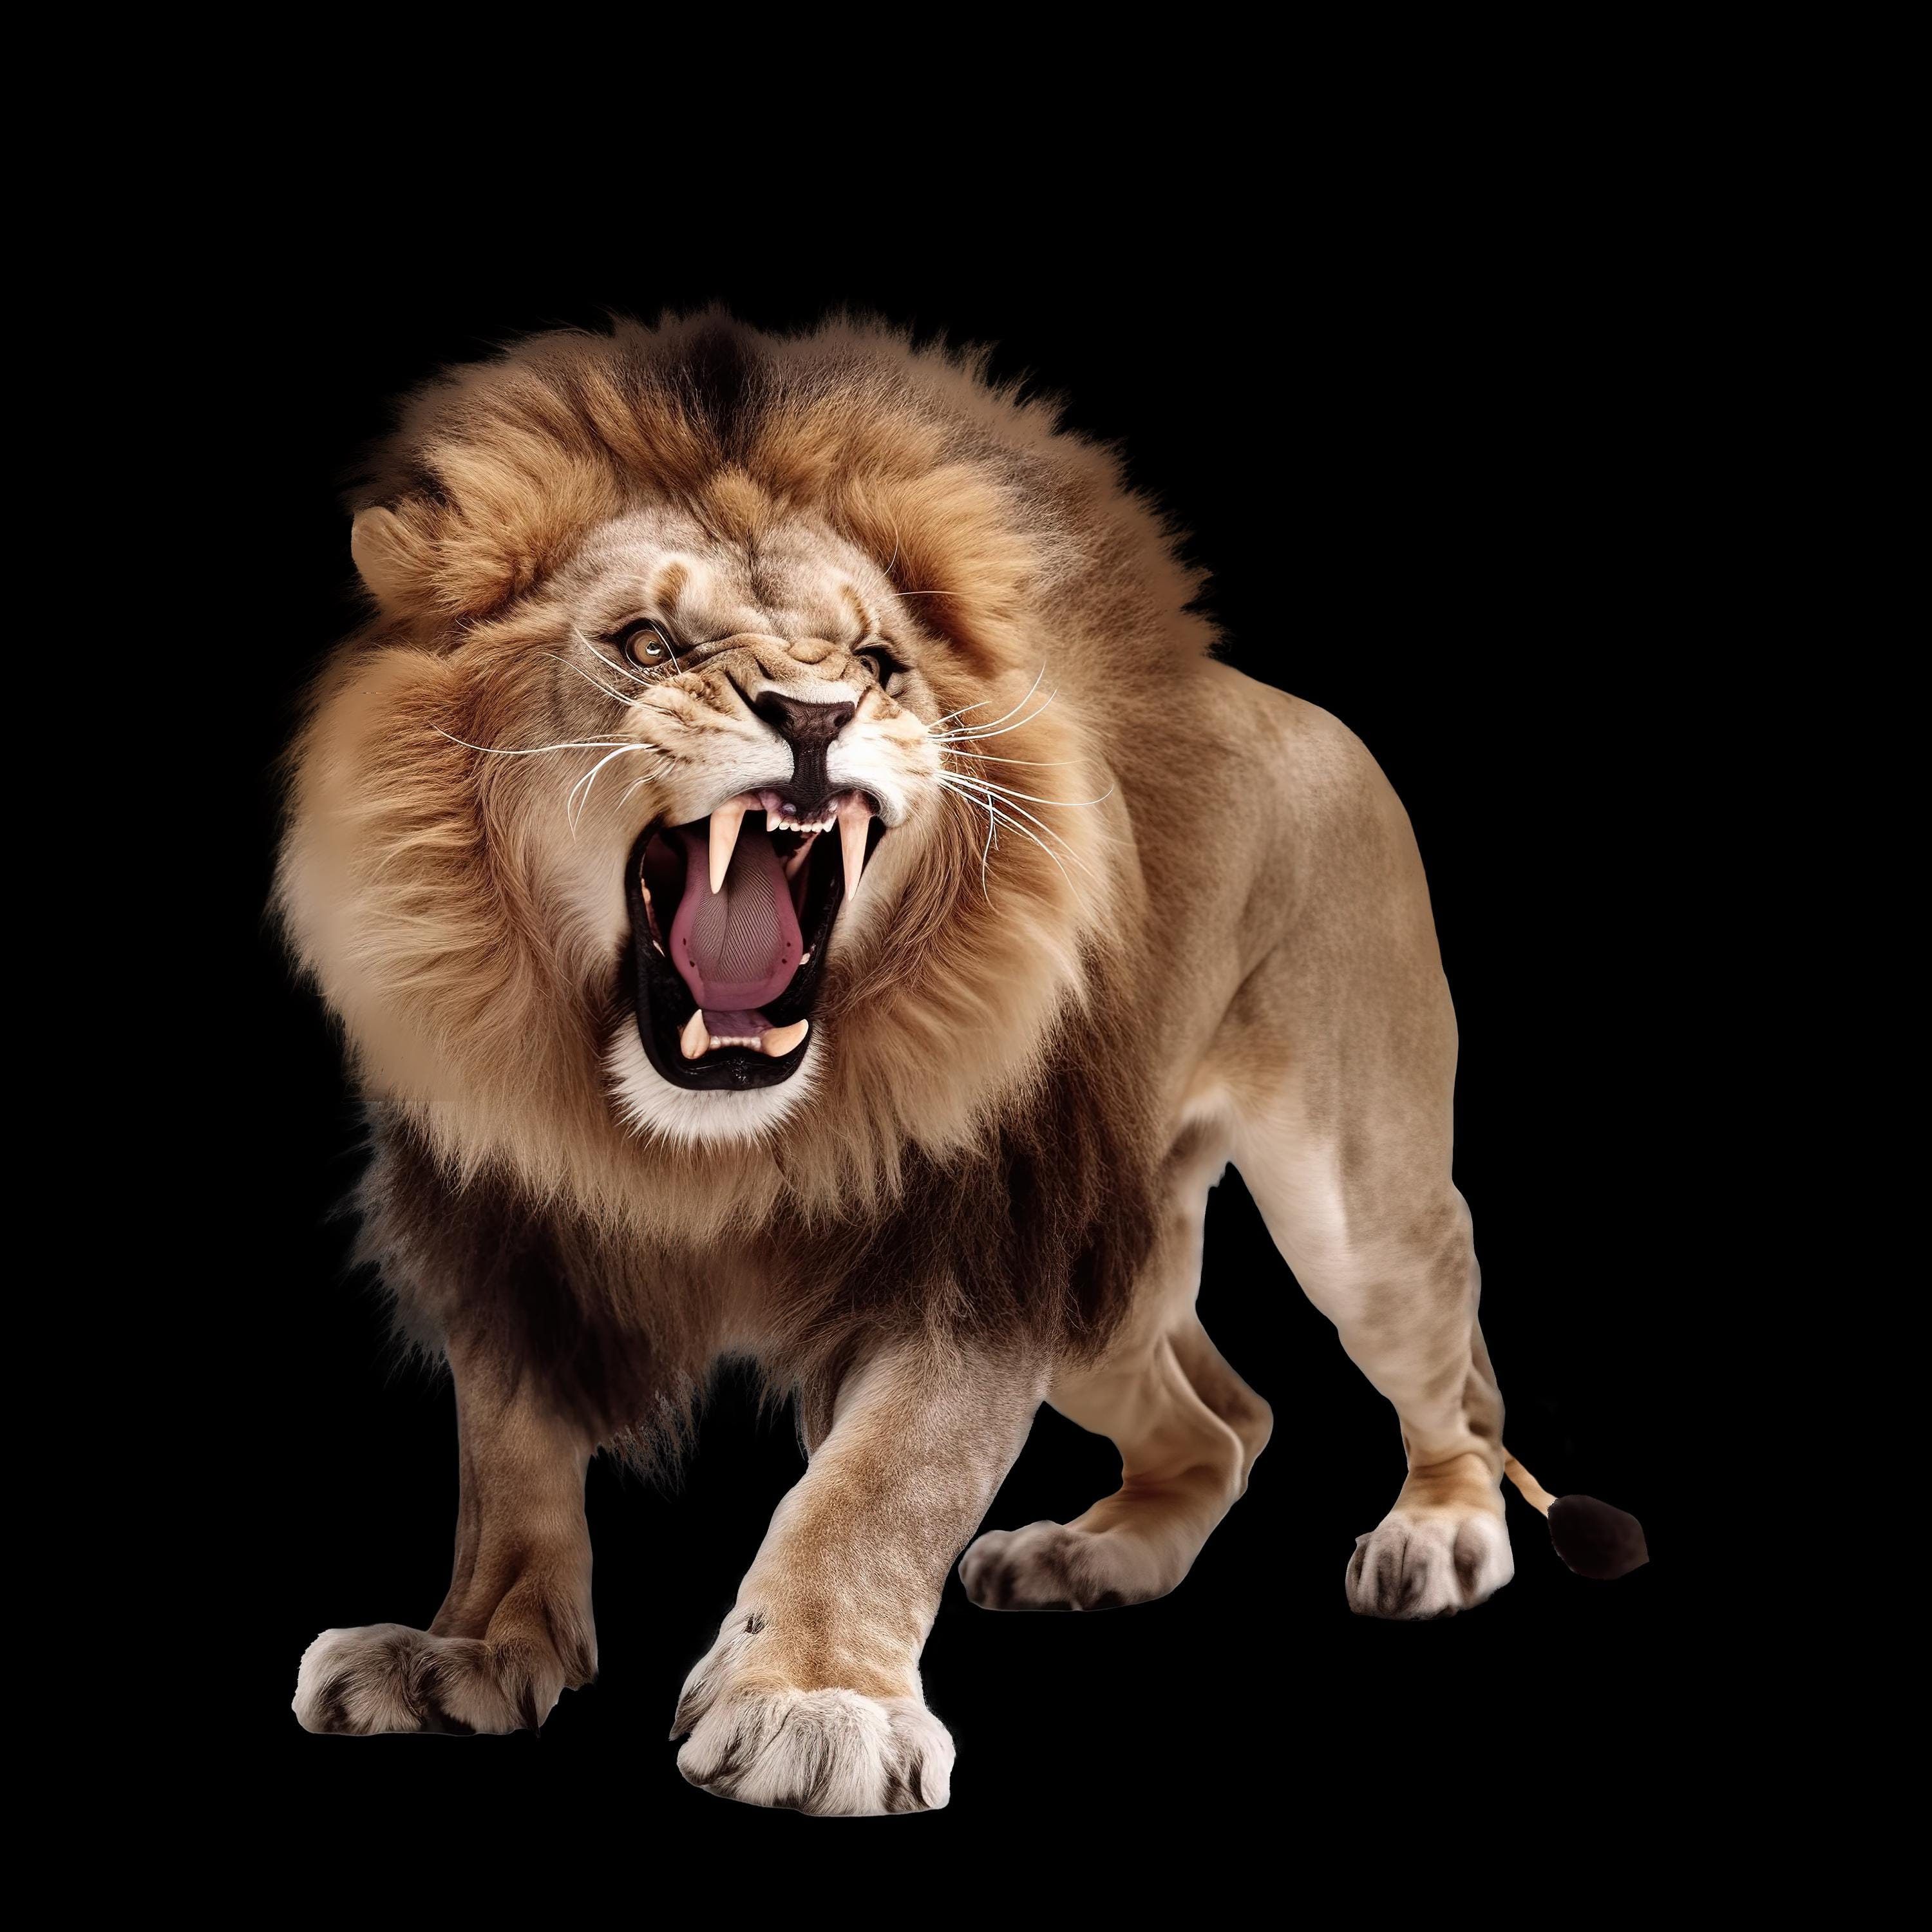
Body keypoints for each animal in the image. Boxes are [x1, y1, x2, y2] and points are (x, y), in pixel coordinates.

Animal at [279, 311, 1642, 1806]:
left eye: (879, 663)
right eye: (645, 641)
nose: (814, 715)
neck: (704, 1137)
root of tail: (1294, 703)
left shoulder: (980, 1242)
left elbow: (881, 1484)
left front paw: (814, 1699)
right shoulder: (508, 1232)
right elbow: (509, 1467)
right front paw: (464, 1648)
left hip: (1355, 1212)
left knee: (1454, 1373)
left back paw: (1441, 1532)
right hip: (1112, 1275)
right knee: (1229, 1420)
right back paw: (1091, 1555)